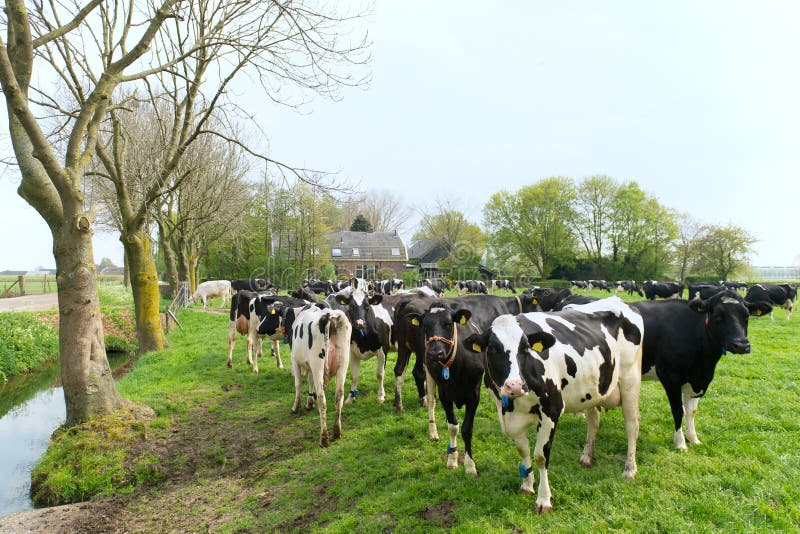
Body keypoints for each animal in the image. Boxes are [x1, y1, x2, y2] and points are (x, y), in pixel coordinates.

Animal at [285, 305, 352, 447]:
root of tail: (330, 315)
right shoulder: (309, 366)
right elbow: (310, 382)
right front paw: (309, 402)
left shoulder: (294, 360)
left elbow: (298, 384)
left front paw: (296, 406)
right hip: (343, 364)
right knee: (339, 395)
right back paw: (337, 432)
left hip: (318, 366)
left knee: (322, 398)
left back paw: (324, 438)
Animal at [464, 296, 644, 513]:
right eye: (492, 348)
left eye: (525, 348)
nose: (514, 385)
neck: (511, 405)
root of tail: (621, 302)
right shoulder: (509, 414)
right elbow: (523, 450)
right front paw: (527, 484)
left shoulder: (552, 408)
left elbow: (541, 456)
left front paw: (544, 499)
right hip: (592, 389)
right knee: (594, 420)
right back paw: (587, 457)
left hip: (630, 381)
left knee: (632, 425)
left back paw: (629, 469)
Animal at [629, 290, 772, 449]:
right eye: (718, 315)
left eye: (746, 316)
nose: (741, 345)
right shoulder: (670, 377)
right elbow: (678, 410)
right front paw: (680, 442)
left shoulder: (698, 380)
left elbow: (691, 411)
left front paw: (693, 438)